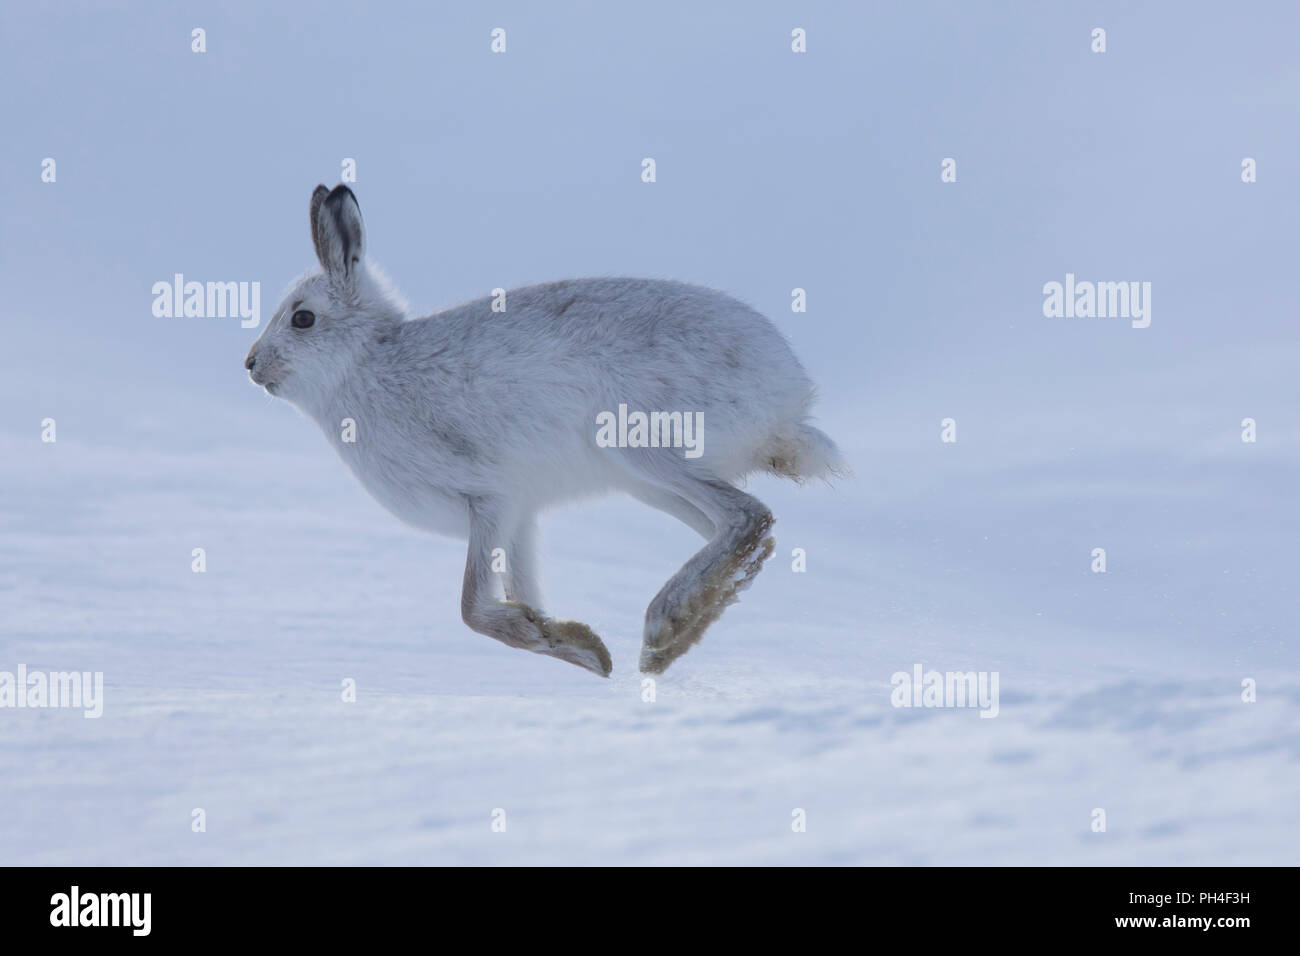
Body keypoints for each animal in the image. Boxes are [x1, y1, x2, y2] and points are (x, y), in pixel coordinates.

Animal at [245, 184, 844, 677]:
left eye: (302, 318)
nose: (250, 365)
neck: (366, 362)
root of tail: (786, 401)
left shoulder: (489, 496)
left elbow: (470, 608)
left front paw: (564, 642)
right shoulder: (519, 516)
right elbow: (520, 590)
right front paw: (575, 646)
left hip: (636, 442)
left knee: (747, 515)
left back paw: (663, 623)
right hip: (648, 485)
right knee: (747, 531)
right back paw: (680, 634)